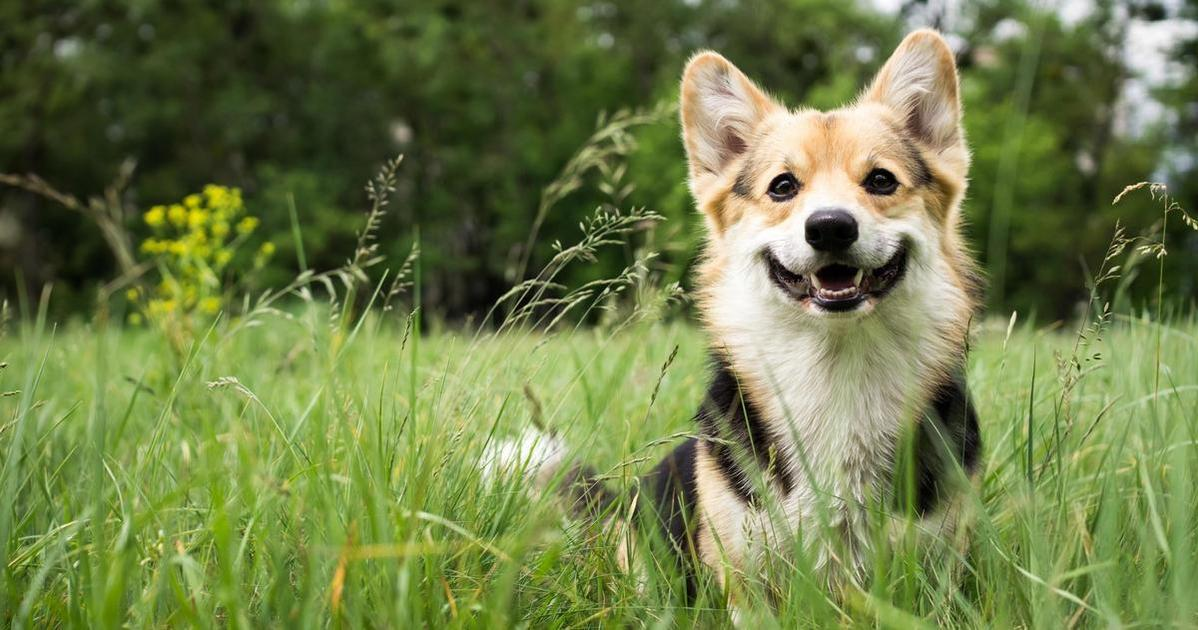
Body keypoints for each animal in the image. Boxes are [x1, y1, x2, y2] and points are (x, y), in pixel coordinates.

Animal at [486, 29, 982, 601]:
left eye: (881, 180)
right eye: (783, 186)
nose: (830, 227)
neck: (836, 363)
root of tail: (625, 497)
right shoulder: (747, 583)